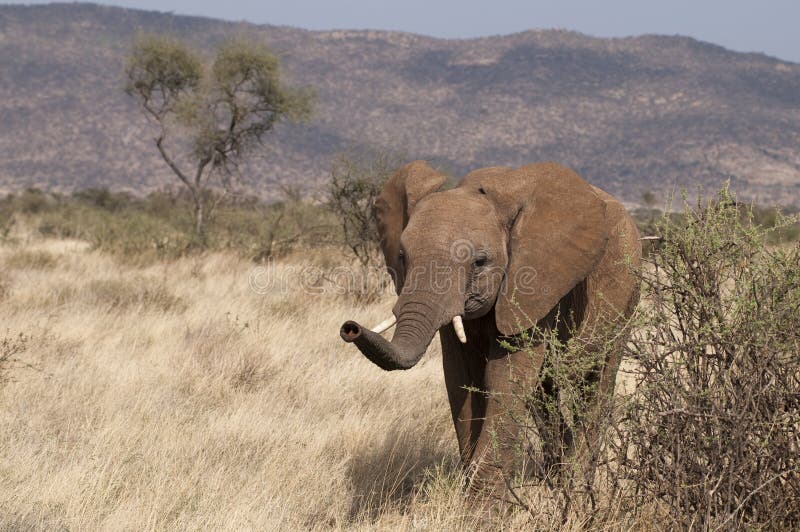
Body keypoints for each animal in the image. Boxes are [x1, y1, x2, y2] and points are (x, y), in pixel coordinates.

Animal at [339, 160, 641, 493]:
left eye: (480, 261)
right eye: (403, 257)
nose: (350, 328)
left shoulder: (534, 283)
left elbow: (506, 378)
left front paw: (479, 504)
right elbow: (459, 376)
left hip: (628, 292)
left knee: (598, 379)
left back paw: (575, 487)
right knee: (544, 392)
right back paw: (555, 480)